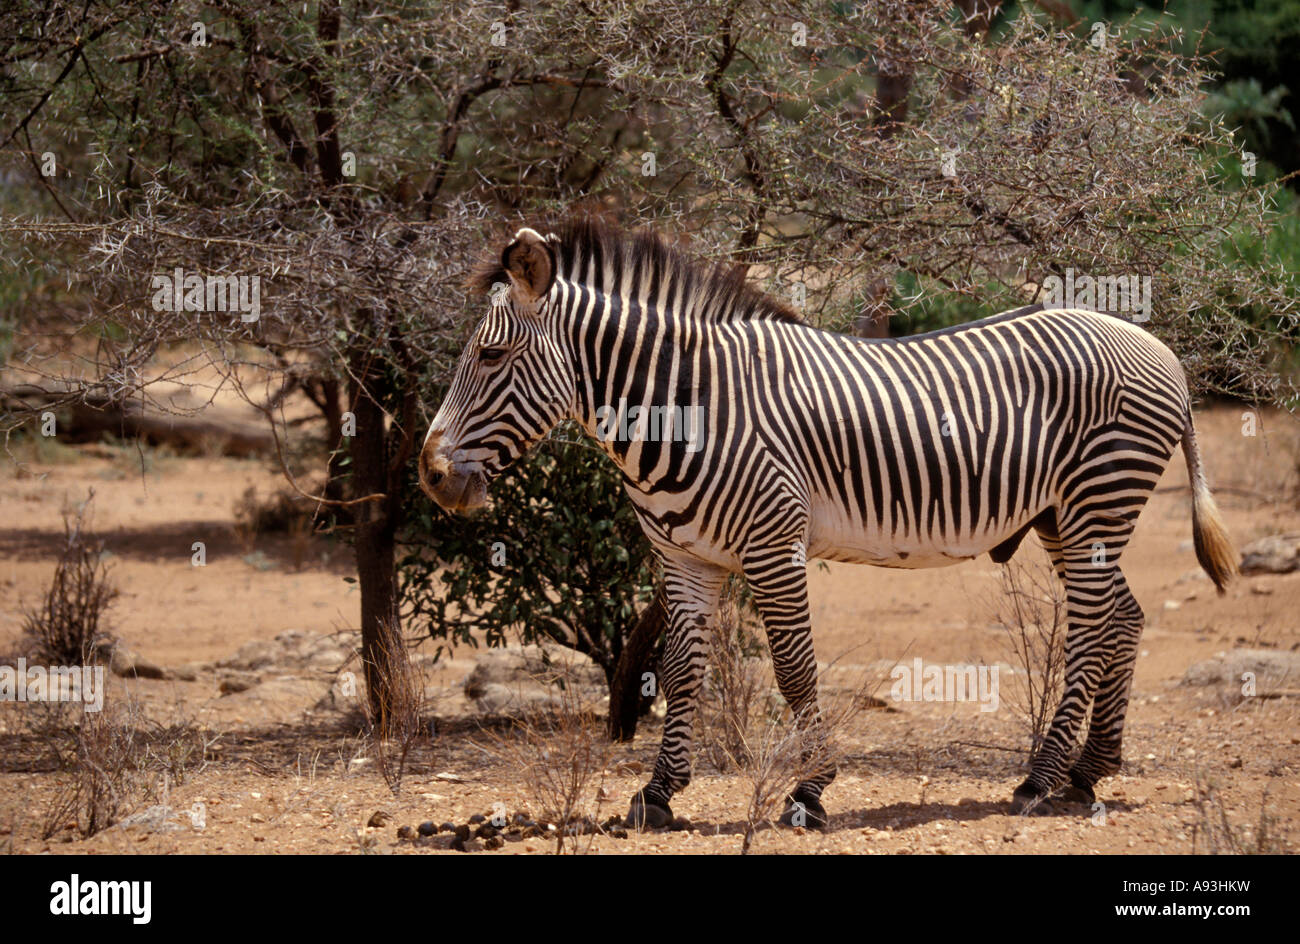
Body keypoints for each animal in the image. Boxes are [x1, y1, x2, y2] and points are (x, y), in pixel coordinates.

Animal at [418, 218, 1238, 828]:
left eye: (490, 355)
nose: (428, 475)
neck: (686, 409)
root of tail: (1156, 344)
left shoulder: (772, 545)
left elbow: (793, 668)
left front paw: (809, 792)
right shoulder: (683, 558)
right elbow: (681, 670)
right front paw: (658, 794)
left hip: (1098, 497)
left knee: (1095, 628)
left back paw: (1040, 779)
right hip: (1064, 518)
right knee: (1124, 618)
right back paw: (1088, 775)